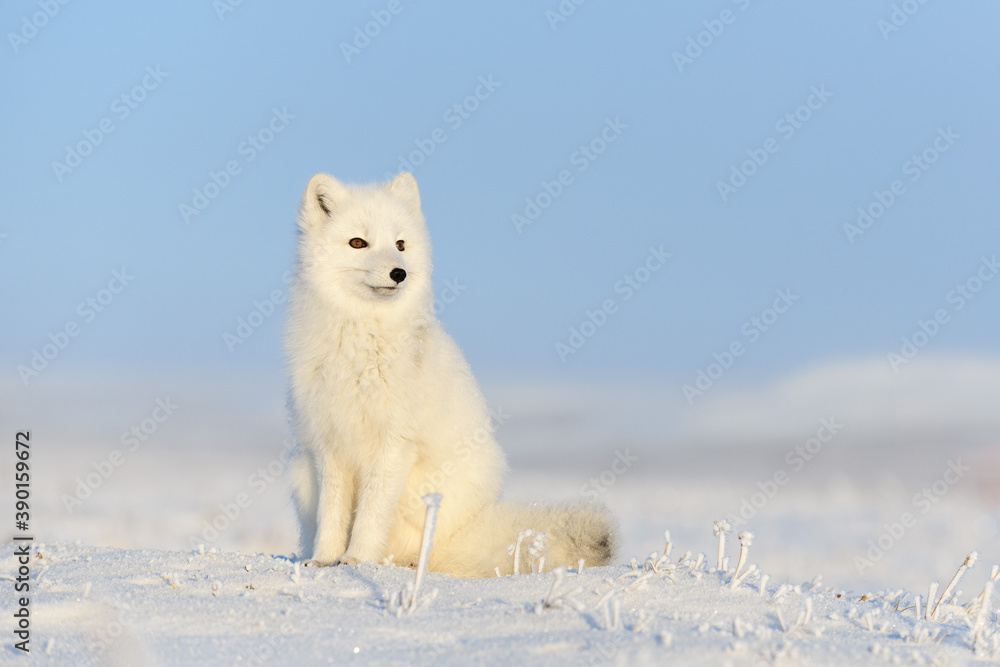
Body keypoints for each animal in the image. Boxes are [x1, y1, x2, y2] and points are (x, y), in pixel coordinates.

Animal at [285, 172, 618, 577]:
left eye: (400, 244)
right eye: (358, 243)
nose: (399, 273)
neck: (362, 344)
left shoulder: (394, 444)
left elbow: (370, 515)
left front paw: (357, 559)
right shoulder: (329, 444)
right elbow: (332, 514)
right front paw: (324, 559)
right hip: (299, 470)